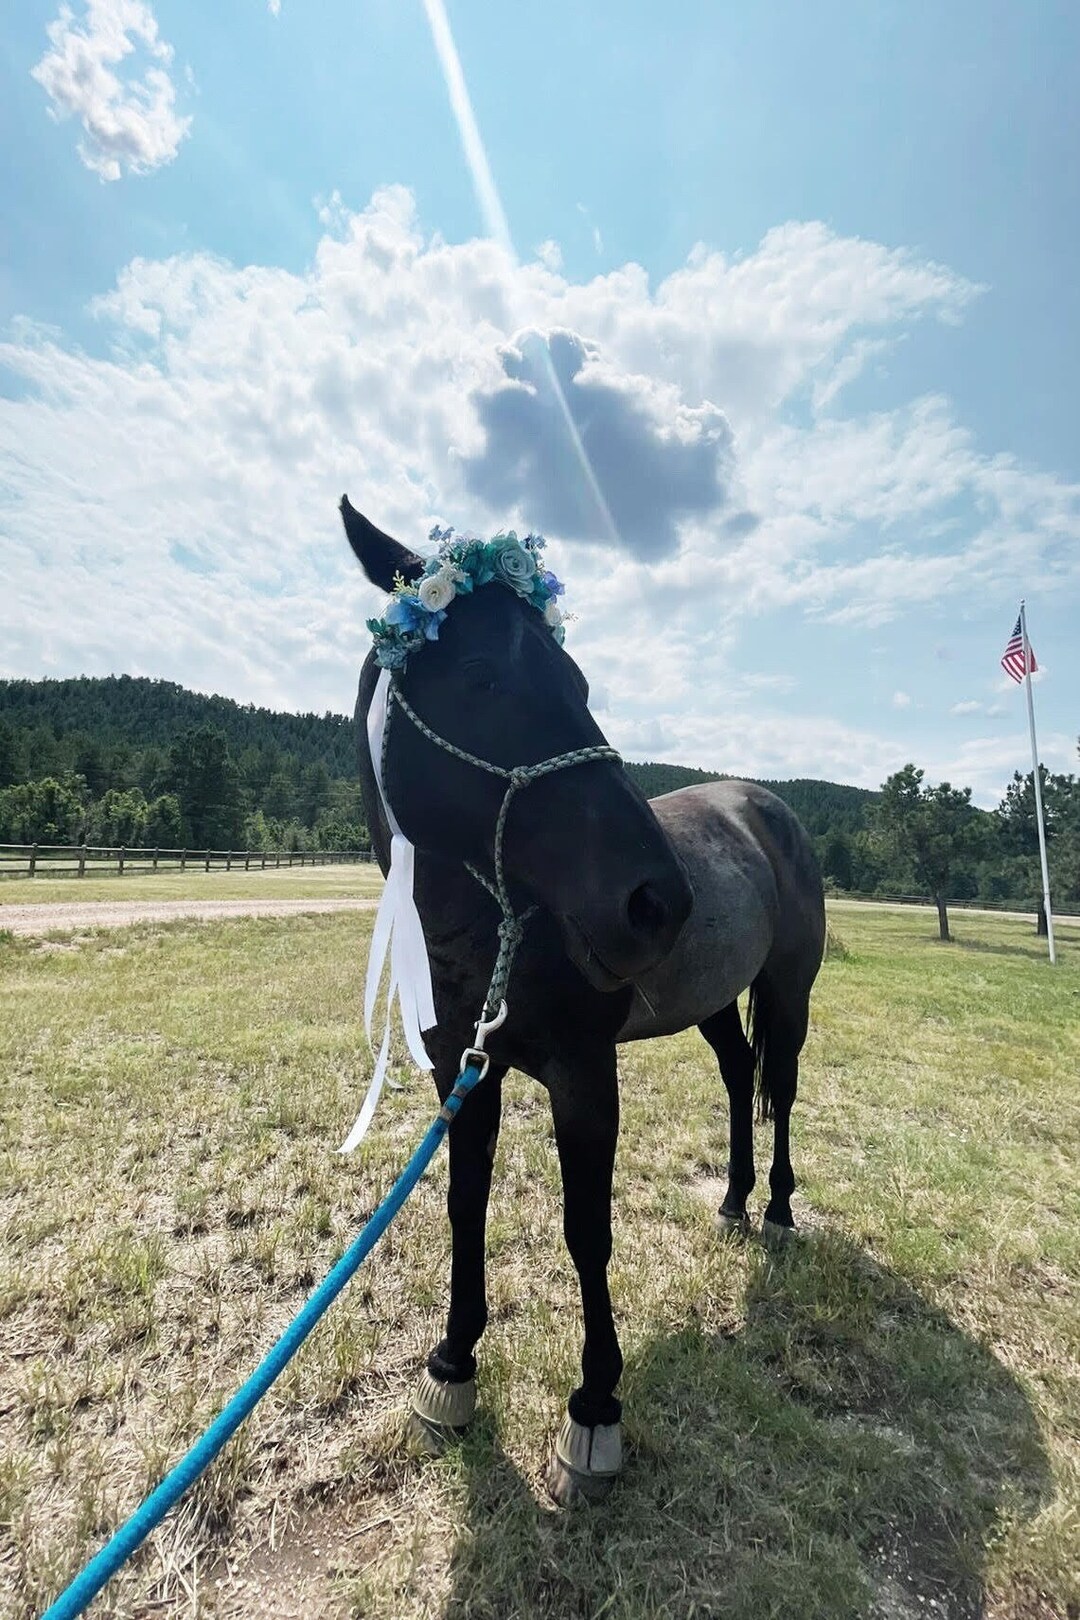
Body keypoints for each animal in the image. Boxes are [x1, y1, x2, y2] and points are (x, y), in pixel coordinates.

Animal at [340, 496, 826, 1505]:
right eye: (482, 676)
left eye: (578, 680)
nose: (658, 901)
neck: (495, 930)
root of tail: (766, 808)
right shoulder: (464, 1072)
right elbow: (466, 1205)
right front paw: (452, 1368)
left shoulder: (583, 1076)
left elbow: (586, 1232)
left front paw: (596, 1409)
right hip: (713, 1004)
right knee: (738, 1080)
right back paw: (732, 1199)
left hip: (787, 994)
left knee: (782, 1091)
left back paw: (778, 1209)